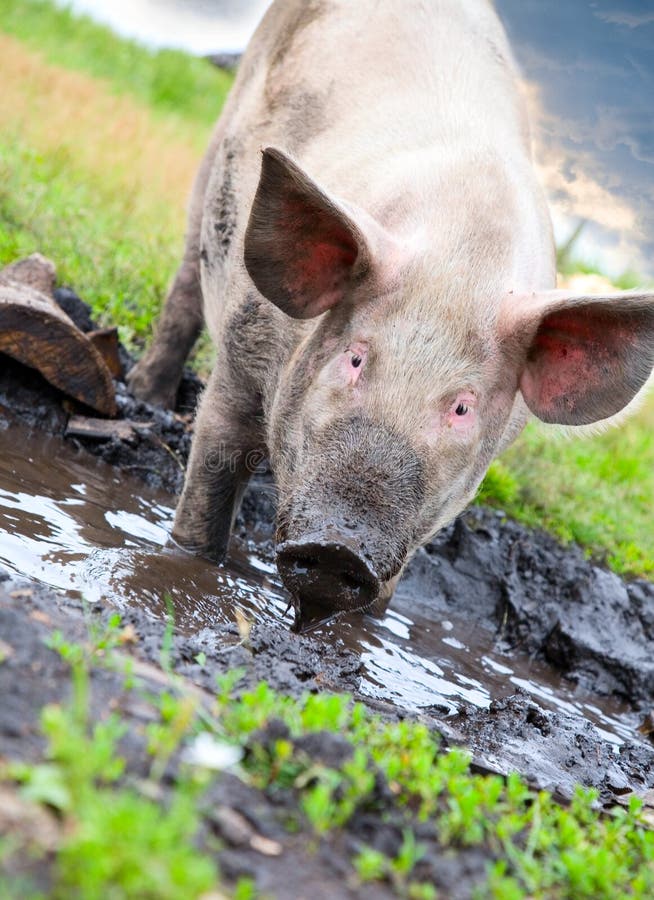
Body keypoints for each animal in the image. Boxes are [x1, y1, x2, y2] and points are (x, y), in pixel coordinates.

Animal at [128, 0, 654, 626]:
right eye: (355, 358)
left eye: (462, 406)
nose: (340, 548)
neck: (461, 260)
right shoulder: (240, 349)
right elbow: (211, 482)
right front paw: (188, 561)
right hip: (217, 156)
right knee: (186, 283)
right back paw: (146, 395)